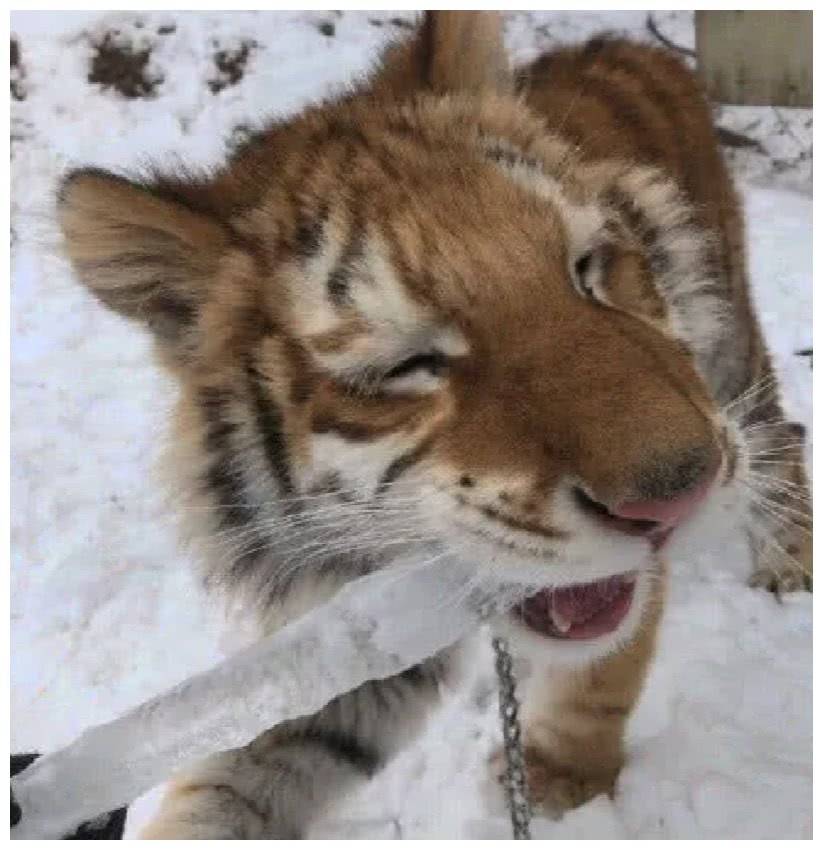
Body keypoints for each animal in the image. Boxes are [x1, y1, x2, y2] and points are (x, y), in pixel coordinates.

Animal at [57, 11, 810, 838]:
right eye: (409, 363)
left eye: (585, 269)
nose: (679, 496)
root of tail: (623, 43)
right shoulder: (361, 620)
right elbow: (245, 777)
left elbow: (600, 671)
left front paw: (558, 775)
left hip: (728, 350)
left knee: (781, 436)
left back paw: (788, 568)